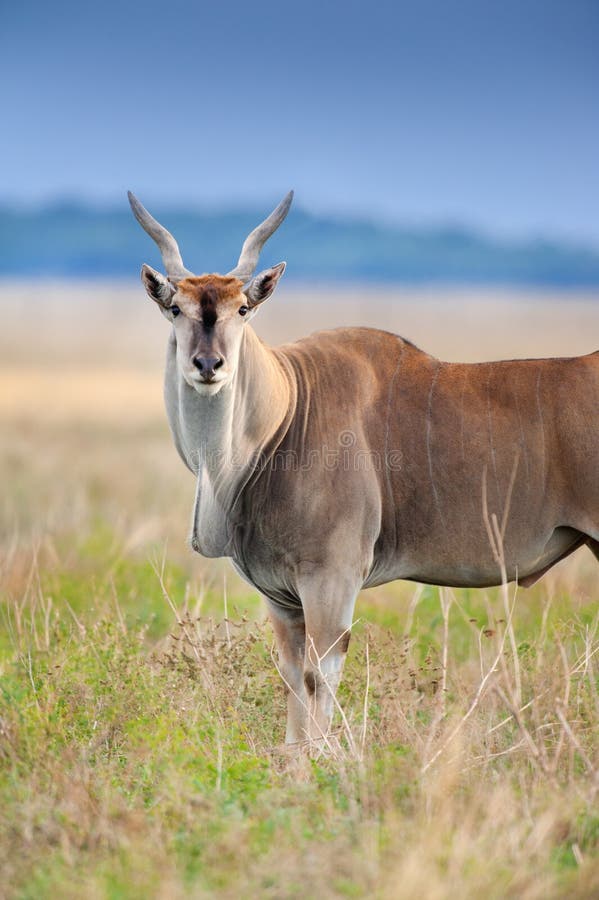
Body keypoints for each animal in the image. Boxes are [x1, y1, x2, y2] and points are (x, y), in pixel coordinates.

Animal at [129, 189, 599, 743]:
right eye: (174, 308)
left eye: (242, 308)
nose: (208, 365)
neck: (286, 413)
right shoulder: (282, 597)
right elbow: (292, 679)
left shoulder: (332, 578)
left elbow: (319, 677)